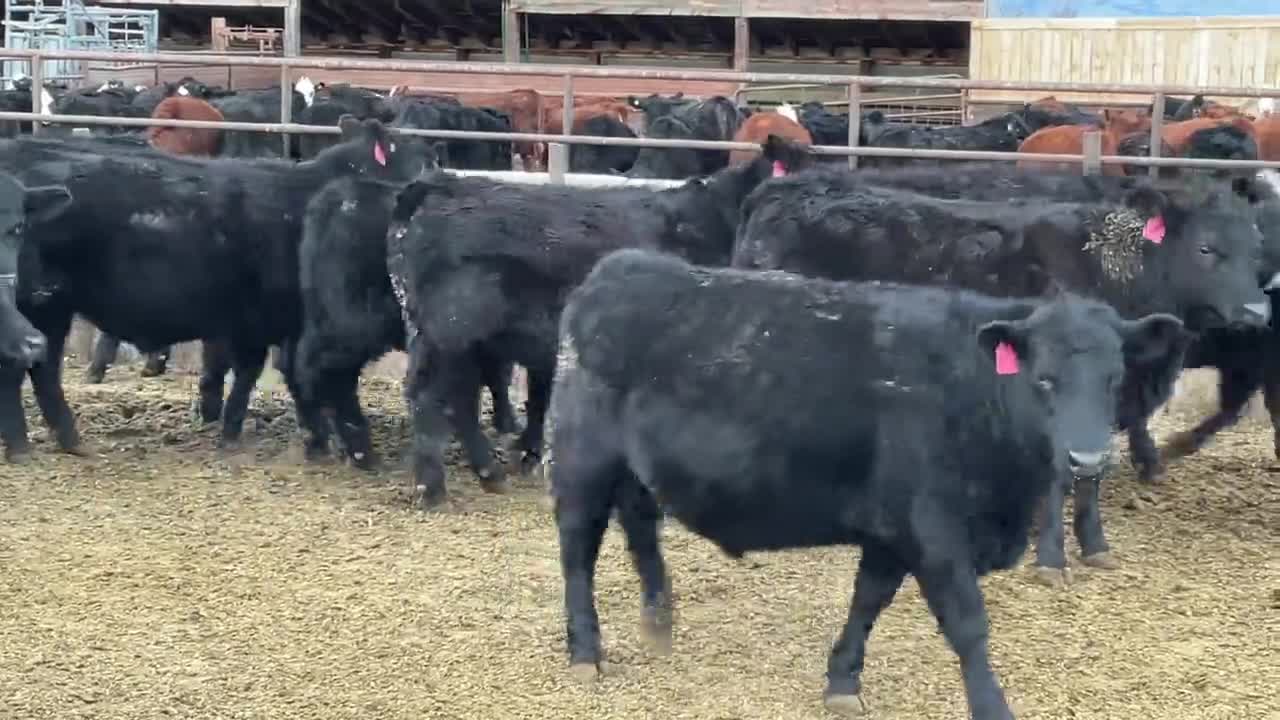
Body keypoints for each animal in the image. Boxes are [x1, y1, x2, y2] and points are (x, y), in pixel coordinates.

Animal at [0, 118, 432, 463]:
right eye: (425, 162)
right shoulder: (280, 321)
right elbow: (277, 374)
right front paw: (312, 439)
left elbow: (250, 372)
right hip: (39, 303)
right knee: (28, 369)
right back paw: (31, 444)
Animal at [385, 135, 814, 508]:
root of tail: (436, 186)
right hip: (448, 334)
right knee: (431, 396)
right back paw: (433, 488)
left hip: (465, 341)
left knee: (459, 399)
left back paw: (489, 473)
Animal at [549, 247, 1185, 720]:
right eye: (1045, 379)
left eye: (1114, 377)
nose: (1087, 459)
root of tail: (619, 267)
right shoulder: (933, 530)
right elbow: (968, 625)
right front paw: (992, 706)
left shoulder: (889, 529)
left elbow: (868, 599)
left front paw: (842, 680)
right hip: (582, 460)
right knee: (578, 550)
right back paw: (585, 651)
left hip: (634, 469)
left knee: (640, 526)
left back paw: (659, 622)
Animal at [732, 171, 1271, 582]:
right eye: (1206, 249)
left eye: (1257, 249)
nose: (1258, 310)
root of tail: (783, 189)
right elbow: (1059, 476)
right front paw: (1051, 558)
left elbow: (1089, 475)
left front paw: (1094, 545)